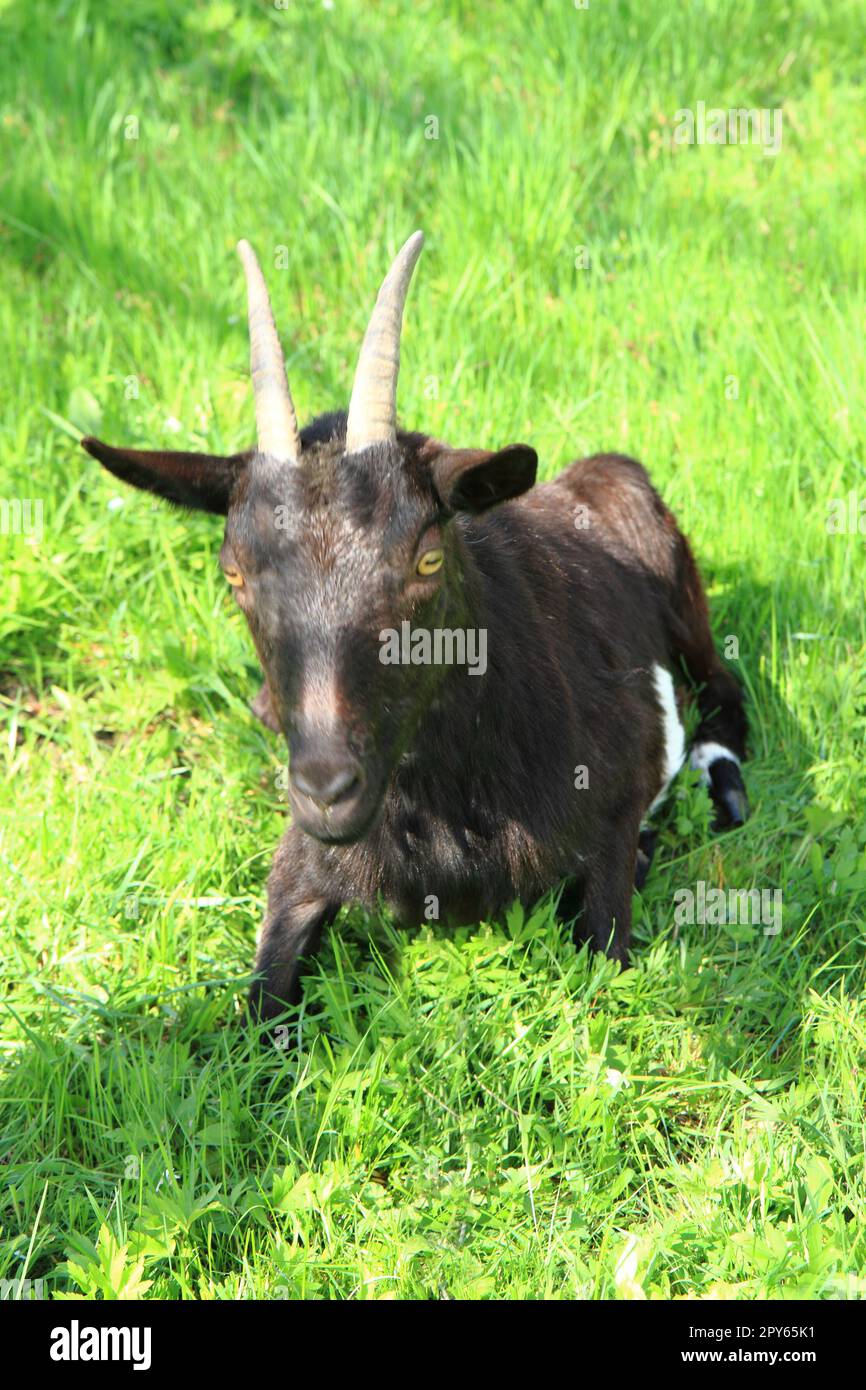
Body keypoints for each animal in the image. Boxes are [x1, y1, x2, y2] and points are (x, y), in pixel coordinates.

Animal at [82, 231, 749, 1023]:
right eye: (233, 572)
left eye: (427, 556)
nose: (327, 786)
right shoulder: (300, 867)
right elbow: (260, 1013)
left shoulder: (612, 814)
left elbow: (603, 963)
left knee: (724, 684)